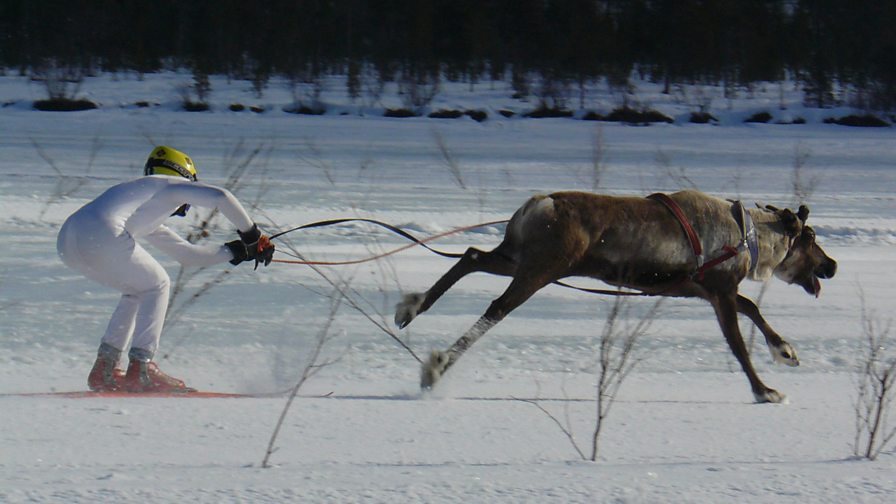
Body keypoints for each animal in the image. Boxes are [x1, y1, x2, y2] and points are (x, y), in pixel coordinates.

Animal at [395, 190, 837, 403]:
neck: (753, 238)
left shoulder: (705, 290)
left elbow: (753, 308)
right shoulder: (719, 290)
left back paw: (411, 307)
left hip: (518, 258)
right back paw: (436, 366)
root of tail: (535, 206)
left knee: (469, 255)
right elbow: (739, 346)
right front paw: (765, 391)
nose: (832, 266)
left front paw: (785, 351)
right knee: (496, 307)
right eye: (811, 238)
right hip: (542, 269)